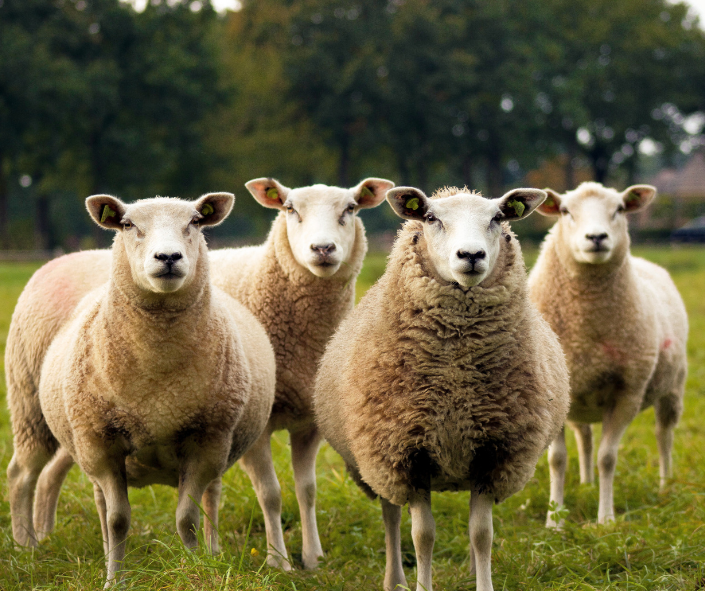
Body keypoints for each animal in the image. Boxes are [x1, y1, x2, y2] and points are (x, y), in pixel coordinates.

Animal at [7, 193, 276, 585]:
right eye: (128, 224)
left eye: (195, 221)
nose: (168, 257)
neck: (157, 381)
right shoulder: (101, 442)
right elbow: (118, 520)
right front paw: (113, 580)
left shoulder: (207, 440)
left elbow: (186, 518)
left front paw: (194, 568)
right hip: (30, 407)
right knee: (23, 474)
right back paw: (25, 548)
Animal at [208, 177, 394, 569]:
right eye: (290, 209)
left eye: (351, 208)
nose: (322, 248)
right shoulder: (258, 424)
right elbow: (270, 494)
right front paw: (278, 561)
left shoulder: (310, 422)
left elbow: (307, 490)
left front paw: (312, 557)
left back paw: (209, 549)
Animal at [314, 186, 571, 591]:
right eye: (431, 218)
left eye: (499, 218)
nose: (471, 255)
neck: (456, 376)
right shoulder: (406, 455)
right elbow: (423, 536)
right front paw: (422, 585)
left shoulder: (493, 454)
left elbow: (482, 534)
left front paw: (484, 584)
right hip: (378, 463)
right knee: (391, 517)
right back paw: (395, 580)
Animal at [528, 181, 688, 527]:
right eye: (565, 211)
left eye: (619, 209)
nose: (597, 238)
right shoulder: (553, 396)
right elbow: (557, 459)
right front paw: (554, 521)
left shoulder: (628, 392)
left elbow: (607, 458)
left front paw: (606, 519)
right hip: (578, 398)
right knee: (585, 437)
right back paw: (586, 484)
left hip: (673, 386)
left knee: (664, 435)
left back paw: (666, 484)